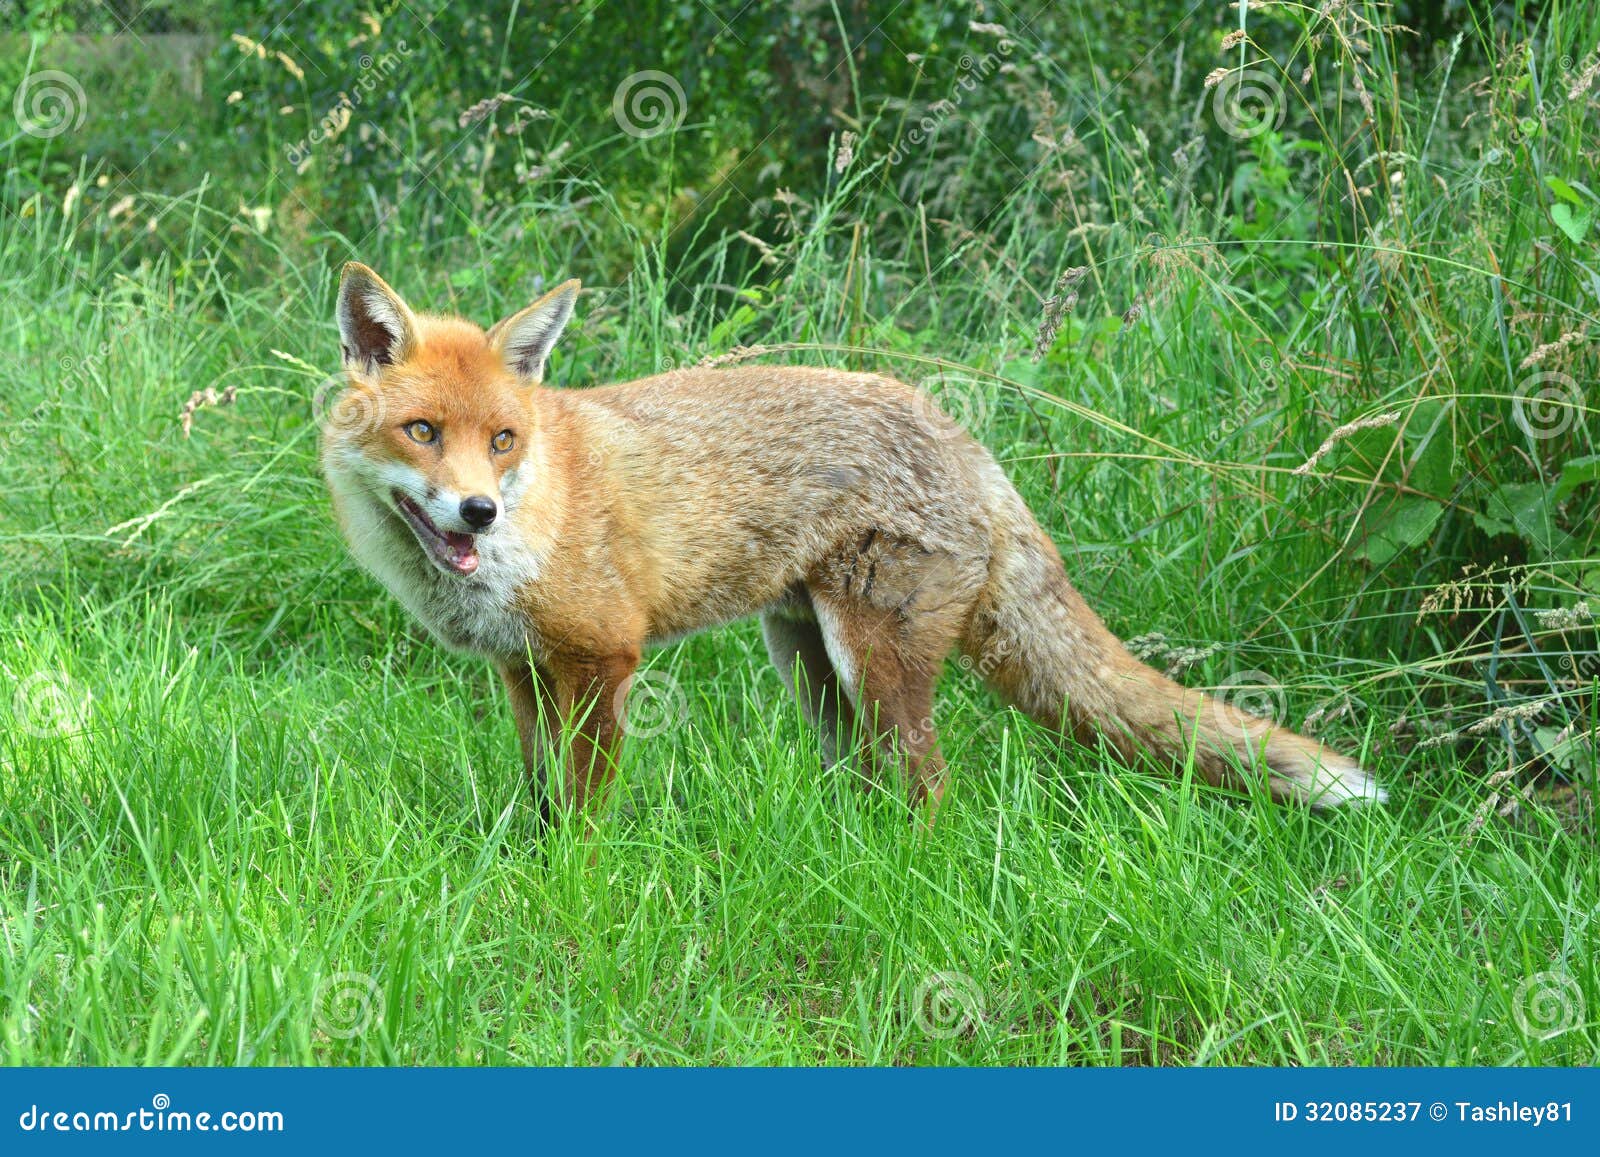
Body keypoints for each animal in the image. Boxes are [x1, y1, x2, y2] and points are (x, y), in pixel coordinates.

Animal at [321, 262, 1385, 832]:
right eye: (423, 432)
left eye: (502, 440)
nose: (477, 513)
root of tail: (961, 434)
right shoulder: (526, 670)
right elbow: (540, 793)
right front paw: (531, 861)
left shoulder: (600, 655)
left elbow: (582, 805)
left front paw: (574, 880)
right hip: (811, 666)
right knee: (867, 785)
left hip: (875, 661)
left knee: (930, 792)